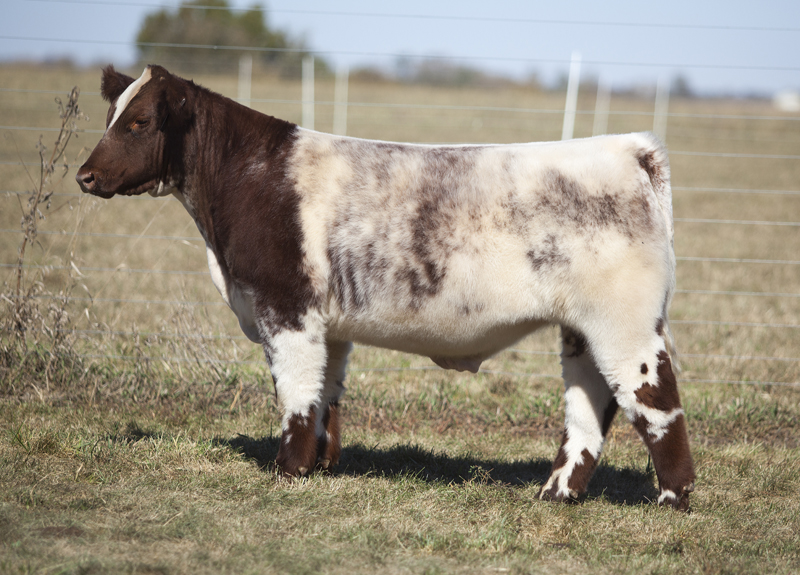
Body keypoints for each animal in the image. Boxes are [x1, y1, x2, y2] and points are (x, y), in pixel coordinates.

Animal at [76, 65, 696, 510]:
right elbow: (324, 393)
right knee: (589, 406)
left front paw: (287, 470)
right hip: (582, 329)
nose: (85, 176)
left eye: (139, 122)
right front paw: (321, 465)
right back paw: (556, 493)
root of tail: (630, 149)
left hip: (625, 323)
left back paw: (673, 497)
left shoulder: (286, 309)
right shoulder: (327, 324)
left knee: (656, 400)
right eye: (111, 114)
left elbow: (295, 392)